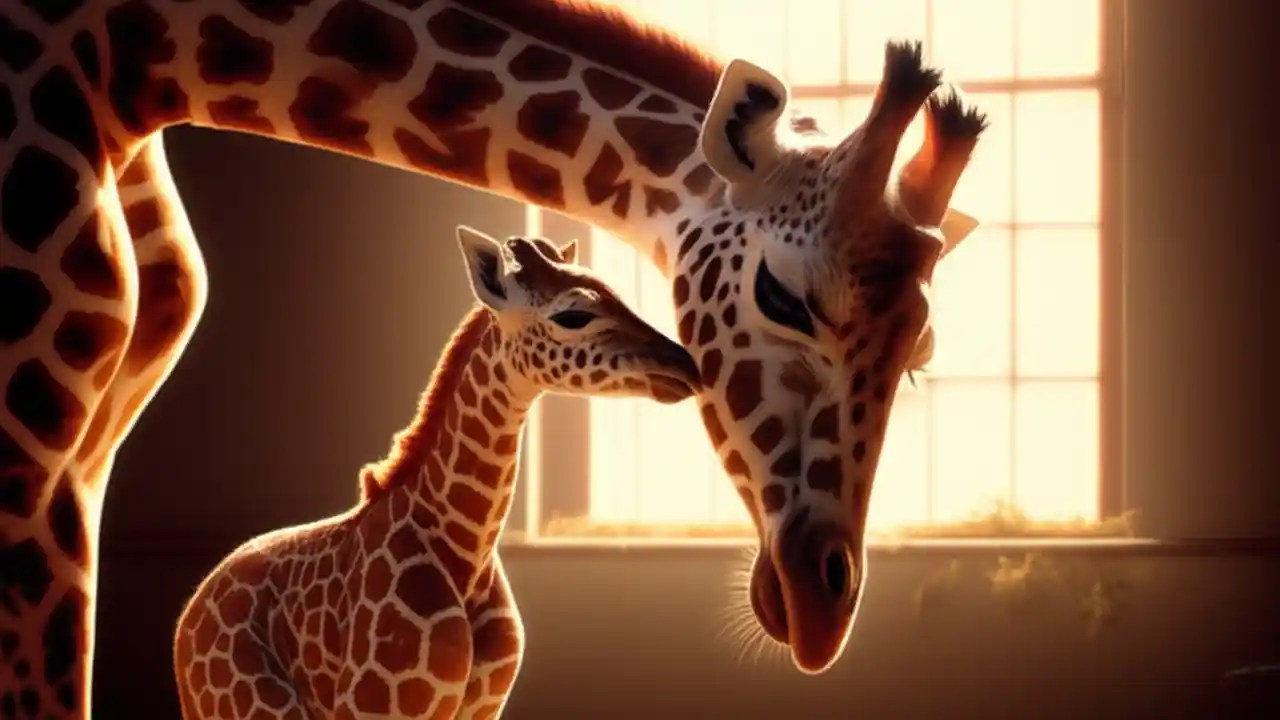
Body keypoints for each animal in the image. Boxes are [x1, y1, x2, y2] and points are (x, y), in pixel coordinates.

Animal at [173, 227, 701, 720]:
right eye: (573, 315)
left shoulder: (483, 708)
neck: (466, 553)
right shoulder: (372, 705)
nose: (685, 365)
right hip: (252, 705)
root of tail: (189, 615)